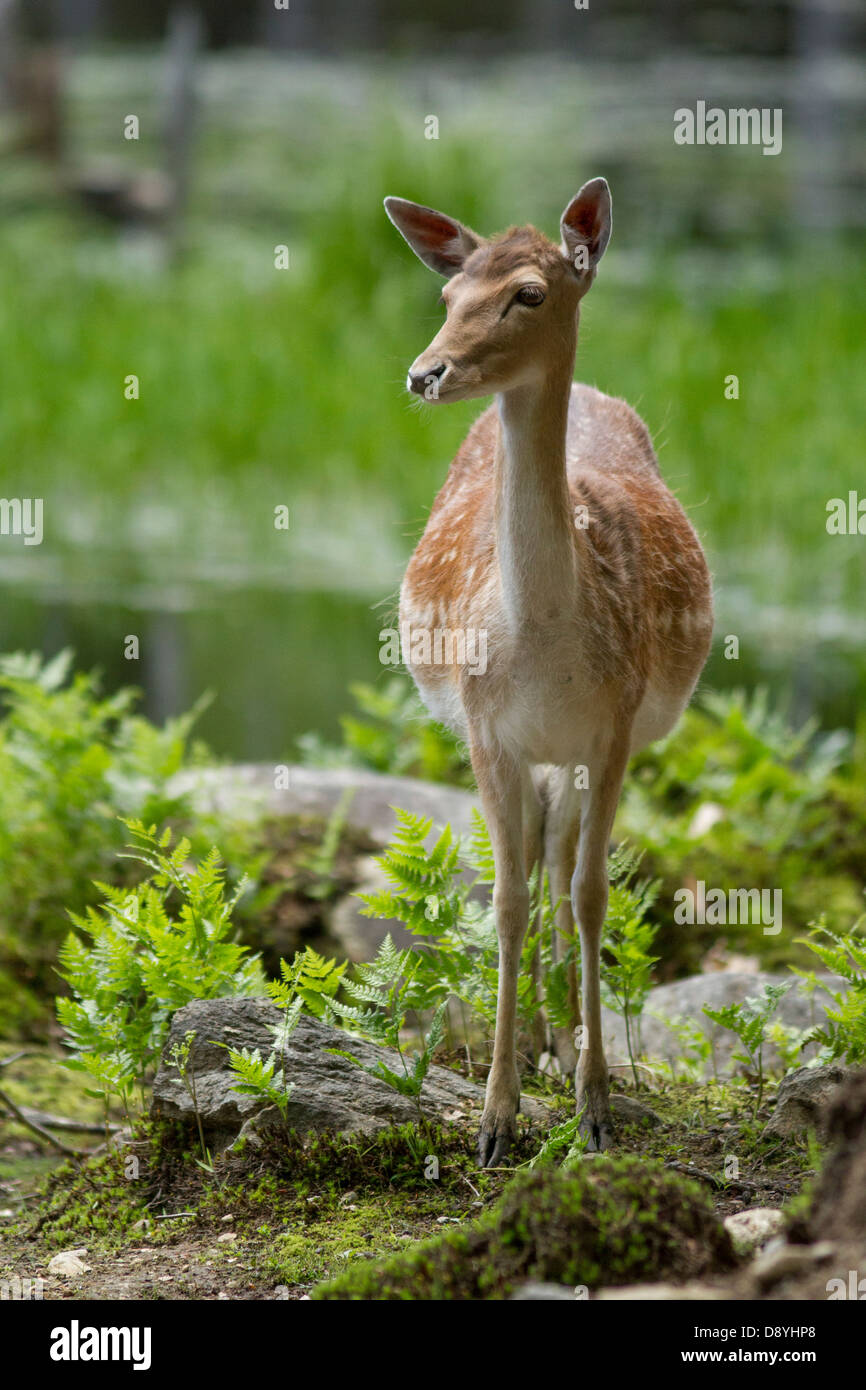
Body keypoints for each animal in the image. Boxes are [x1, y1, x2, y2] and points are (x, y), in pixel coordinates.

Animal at [384, 179, 713, 1166]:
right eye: (449, 294)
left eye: (528, 293)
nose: (426, 373)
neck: (543, 649)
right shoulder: (488, 732)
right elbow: (505, 901)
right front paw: (497, 1118)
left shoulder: (613, 727)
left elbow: (592, 896)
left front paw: (594, 1105)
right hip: (529, 753)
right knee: (535, 870)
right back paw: (535, 1045)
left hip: (573, 754)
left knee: (563, 869)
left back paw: (563, 1044)